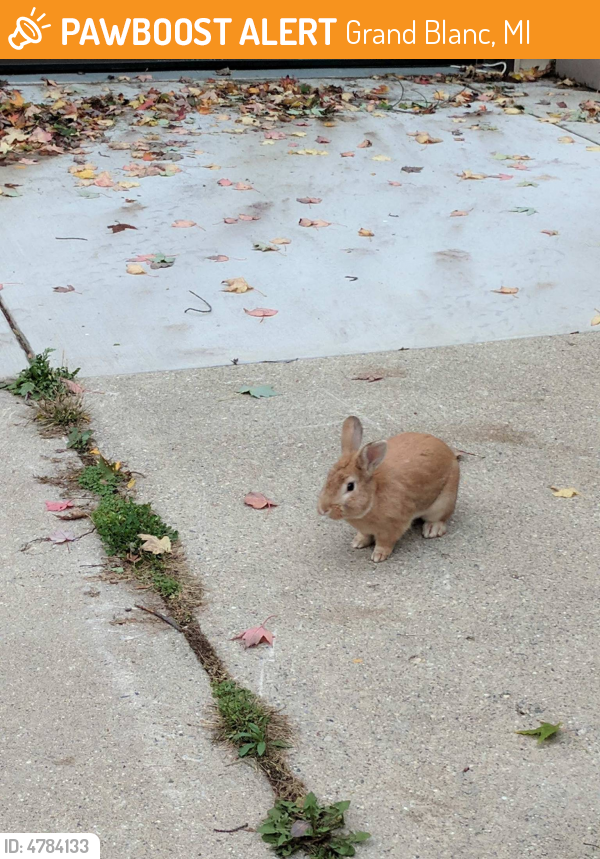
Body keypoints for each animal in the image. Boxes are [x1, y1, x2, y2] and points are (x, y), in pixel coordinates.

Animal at [317, 416, 459, 562]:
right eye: (328, 477)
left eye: (350, 486)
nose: (323, 509)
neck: (373, 497)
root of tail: (449, 454)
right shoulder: (366, 529)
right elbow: (364, 535)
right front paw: (357, 543)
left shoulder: (392, 528)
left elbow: (384, 543)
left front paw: (378, 556)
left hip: (444, 501)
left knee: (440, 518)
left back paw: (432, 529)